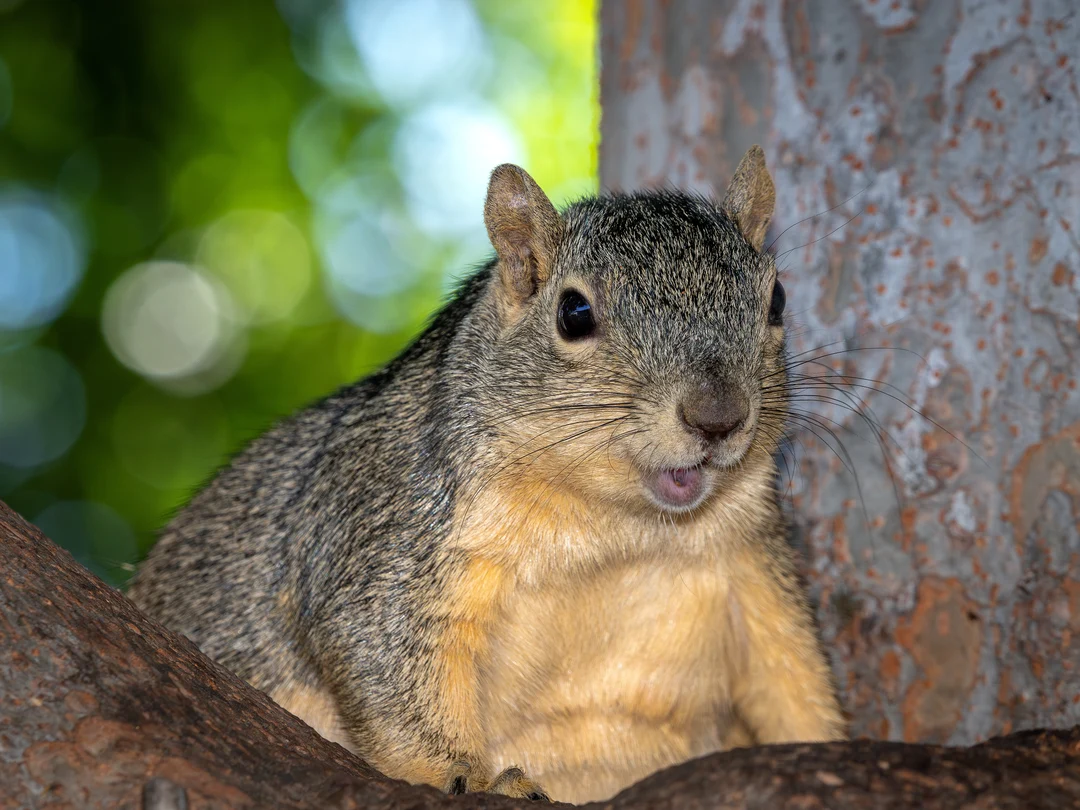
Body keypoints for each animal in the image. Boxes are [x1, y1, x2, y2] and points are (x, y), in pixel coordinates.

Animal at [127, 146, 847, 804]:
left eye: (777, 299)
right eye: (575, 313)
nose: (718, 417)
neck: (619, 526)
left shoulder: (754, 564)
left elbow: (795, 682)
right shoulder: (390, 526)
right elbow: (379, 655)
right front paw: (465, 776)